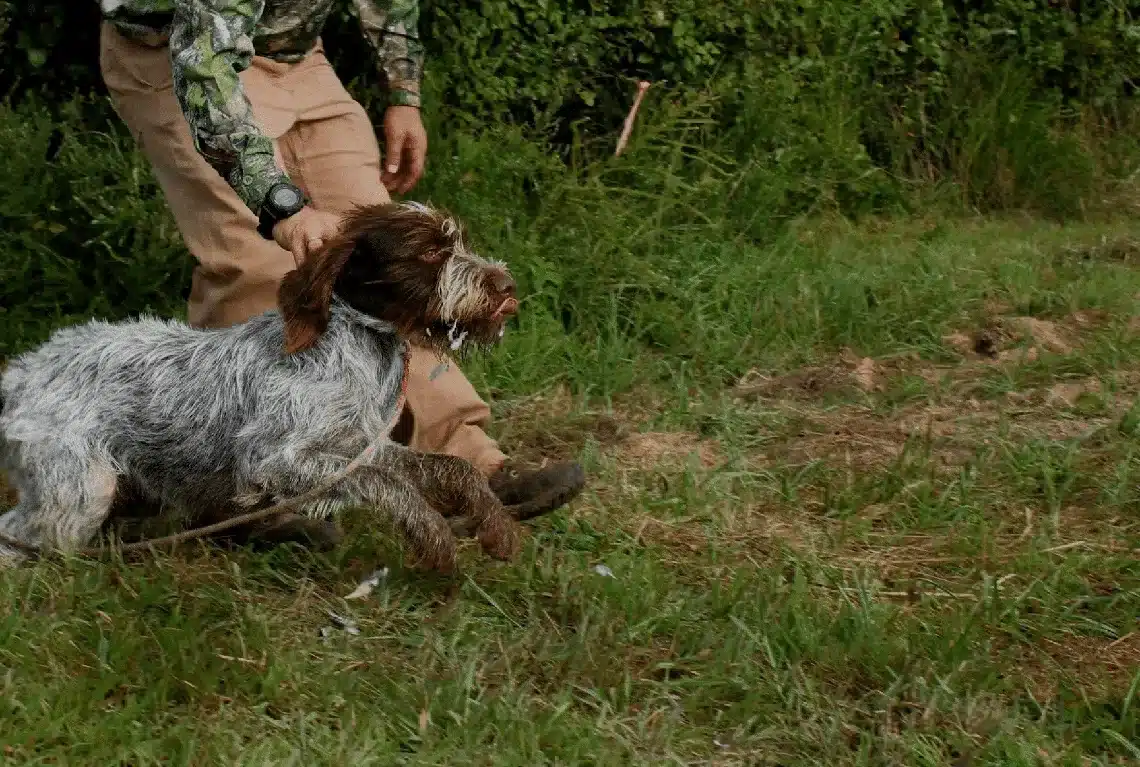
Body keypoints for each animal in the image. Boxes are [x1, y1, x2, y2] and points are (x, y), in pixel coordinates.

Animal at [0, 200, 524, 572]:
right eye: (431, 251)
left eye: (460, 242)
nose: (507, 284)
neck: (357, 346)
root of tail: (21, 371)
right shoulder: (276, 459)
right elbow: (387, 483)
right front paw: (434, 536)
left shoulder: (360, 446)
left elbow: (454, 468)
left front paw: (496, 524)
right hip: (79, 492)